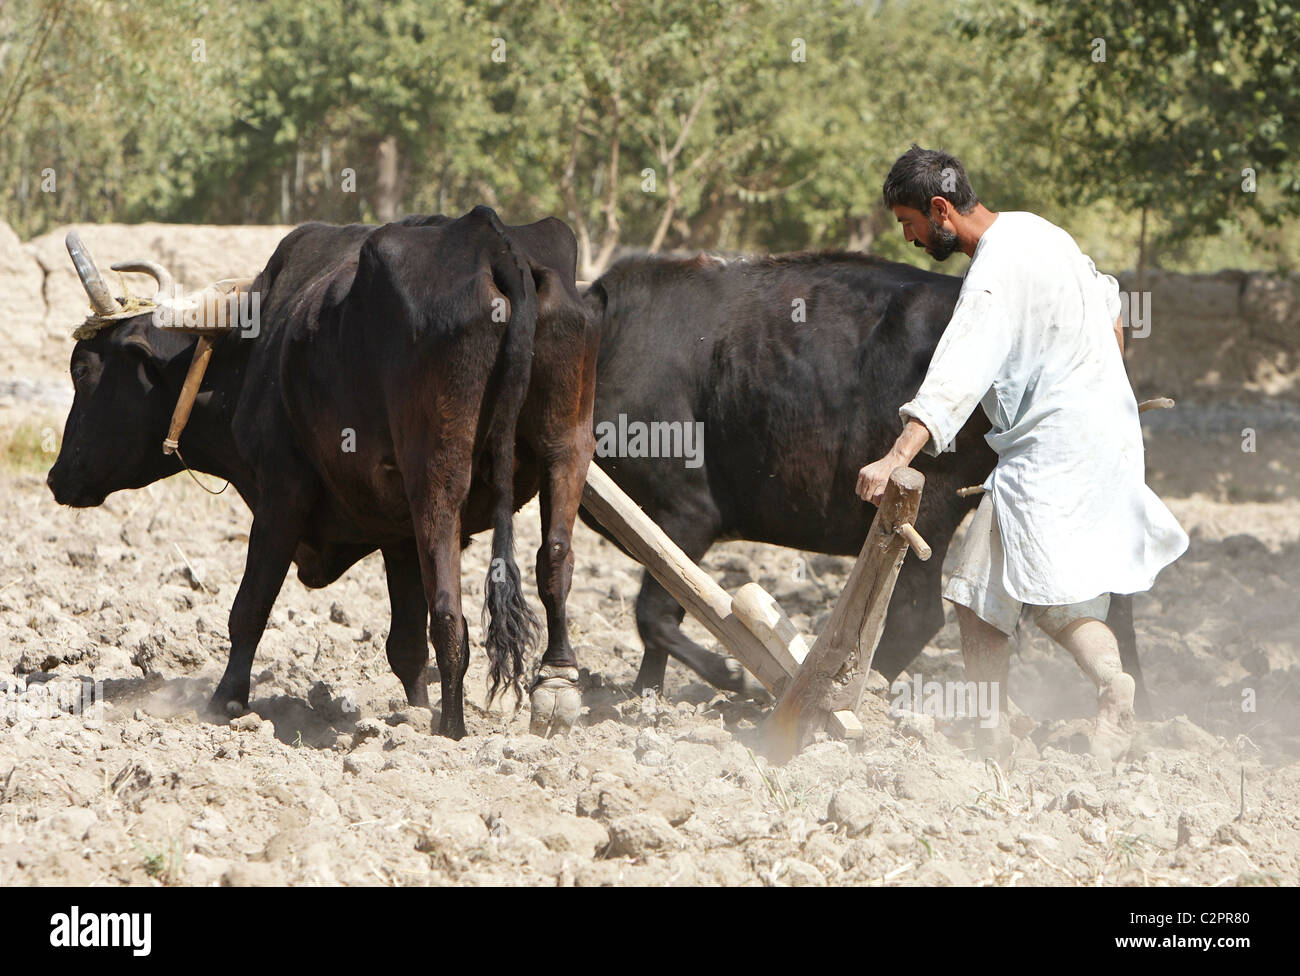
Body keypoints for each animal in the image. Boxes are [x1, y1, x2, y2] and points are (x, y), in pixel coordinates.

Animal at [47, 207, 599, 739]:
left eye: (82, 370)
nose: (56, 477)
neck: (248, 349)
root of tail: (489, 241)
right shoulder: (398, 535)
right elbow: (404, 645)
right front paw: (414, 710)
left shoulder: (281, 494)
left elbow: (250, 607)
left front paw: (225, 702)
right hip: (566, 447)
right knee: (554, 561)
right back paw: (555, 683)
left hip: (437, 475)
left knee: (449, 608)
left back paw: (452, 729)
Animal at [578, 251, 1148, 714]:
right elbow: (659, 616)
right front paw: (644, 695)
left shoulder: (685, 514)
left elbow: (655, 612)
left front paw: (730, 674)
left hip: (930, 504)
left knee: (921, 615)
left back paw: (852, 691)